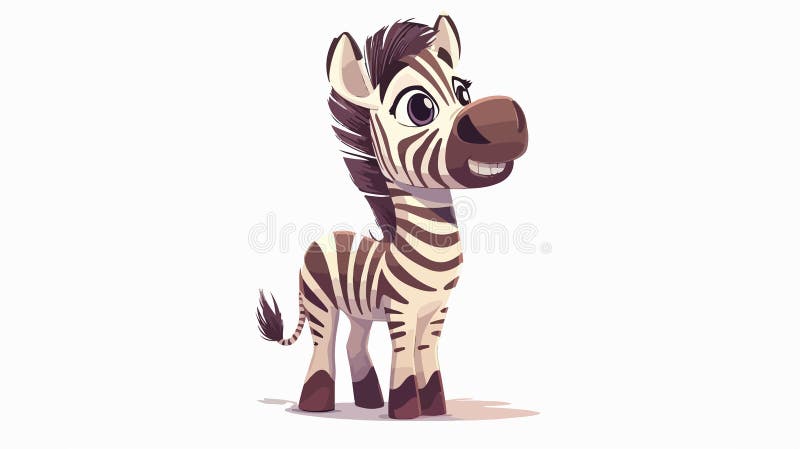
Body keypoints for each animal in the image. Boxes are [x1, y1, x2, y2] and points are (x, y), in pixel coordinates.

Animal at [256, 15, 528, 419]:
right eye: (419, 107)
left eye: (463, 93)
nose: (503, 117)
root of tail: (321, 238)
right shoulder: (402, 311)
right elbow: (404, 355)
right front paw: (405, 411)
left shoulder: (437, 310)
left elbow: (427, 355)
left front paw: (435, 408)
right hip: (321, 303)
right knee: (323, 345)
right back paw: (317, 405)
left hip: (359, 311)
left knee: (354, 343)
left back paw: (369, 400)